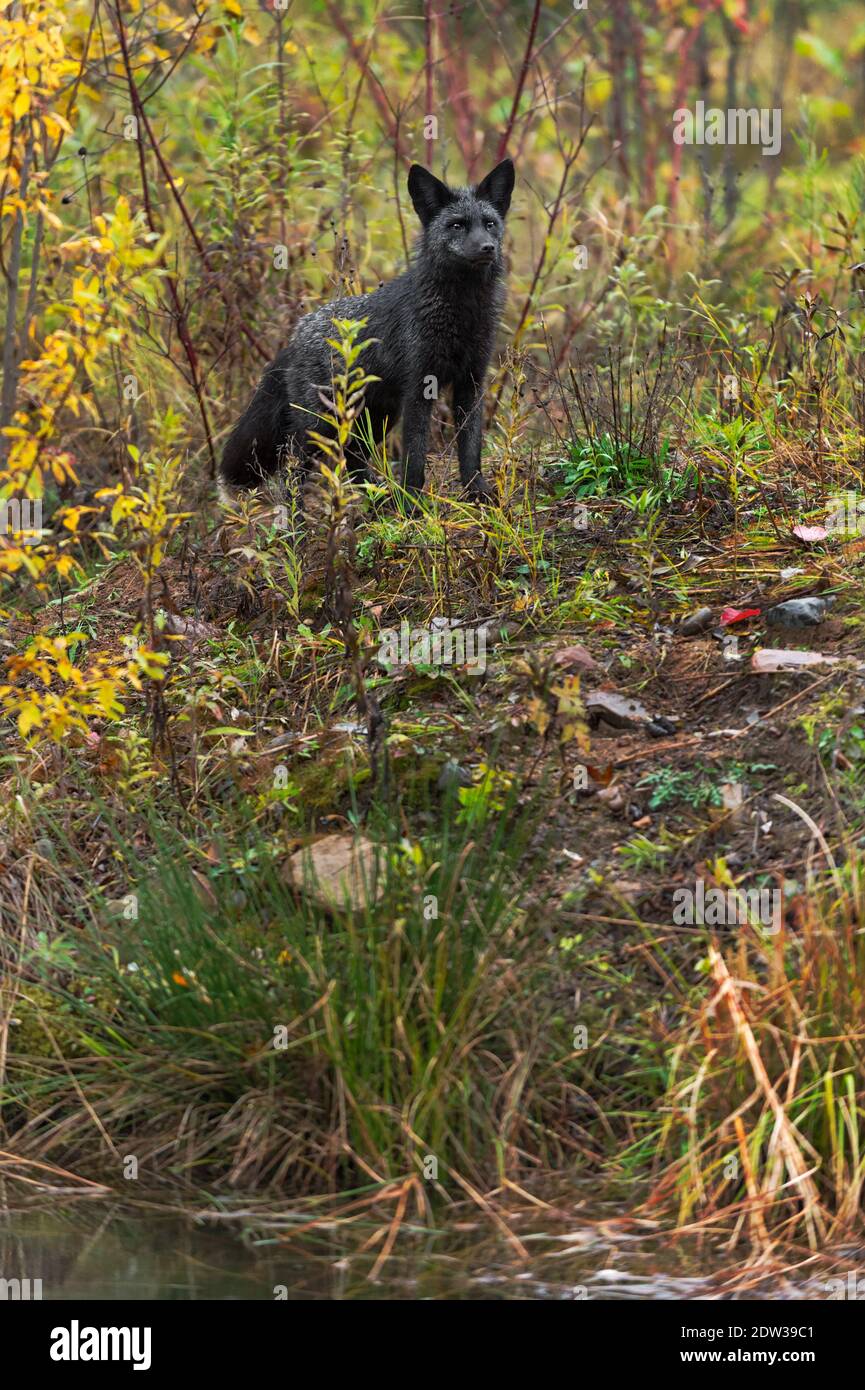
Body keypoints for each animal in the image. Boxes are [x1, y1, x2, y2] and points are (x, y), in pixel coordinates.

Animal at [219, 157, 515, 502]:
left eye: (490, 223)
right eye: (456, 225)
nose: (487, 247)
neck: (463, 310)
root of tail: (296, 335)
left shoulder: (472, 381)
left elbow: (470, 447)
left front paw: (477, 492)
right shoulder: (419, 386)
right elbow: (415, 454)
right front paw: (412, 504)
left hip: (375, 417)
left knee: (354, 459)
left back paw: (375, 497)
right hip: (319, 426)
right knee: (293, 475)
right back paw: (299, 516)